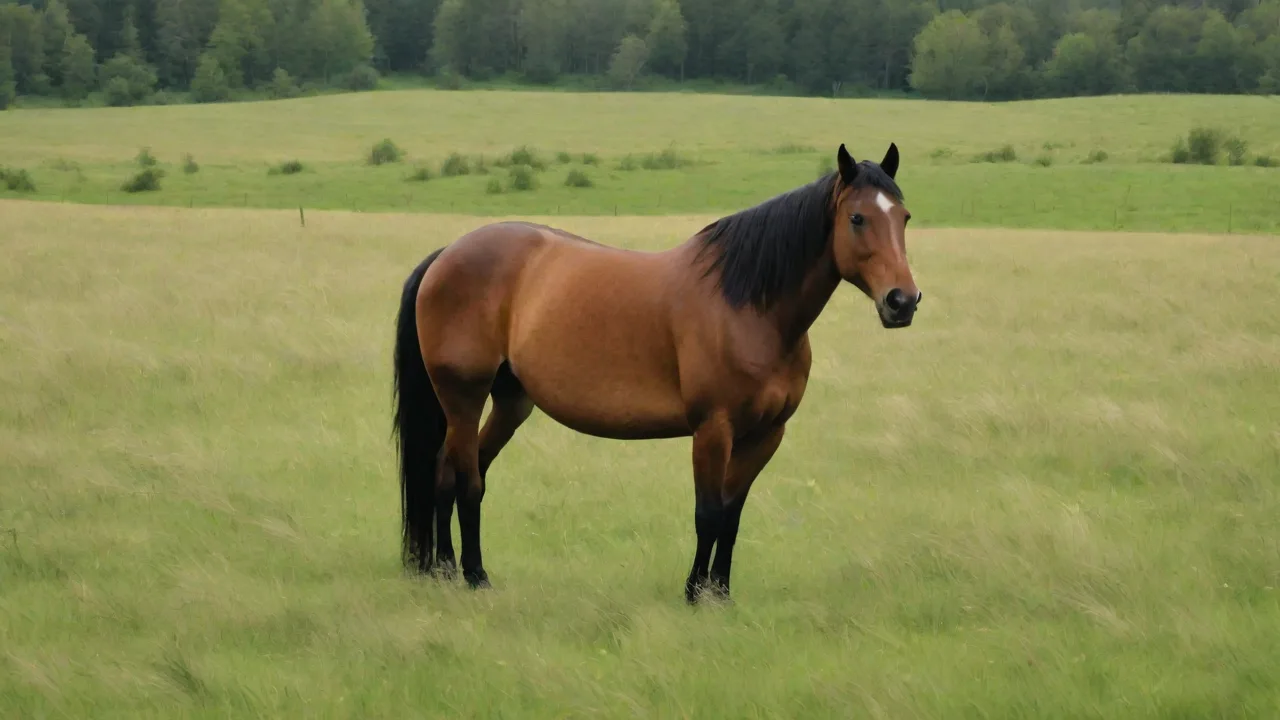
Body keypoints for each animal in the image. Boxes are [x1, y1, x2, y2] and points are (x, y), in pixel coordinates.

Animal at [391, 143, 922, 604]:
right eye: (857, 218)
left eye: (904, 217)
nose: (902, 301)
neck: (749, 308)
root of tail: (446, 255)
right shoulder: (713, 430)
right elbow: (708, 513)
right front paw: (692, 594)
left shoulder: (766, 434)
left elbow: (732, 515)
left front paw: (720, 594)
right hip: (463, 398)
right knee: (467, 481)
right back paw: (475, 576)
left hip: (510, 403)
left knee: (446, 473)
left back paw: (444, 570)